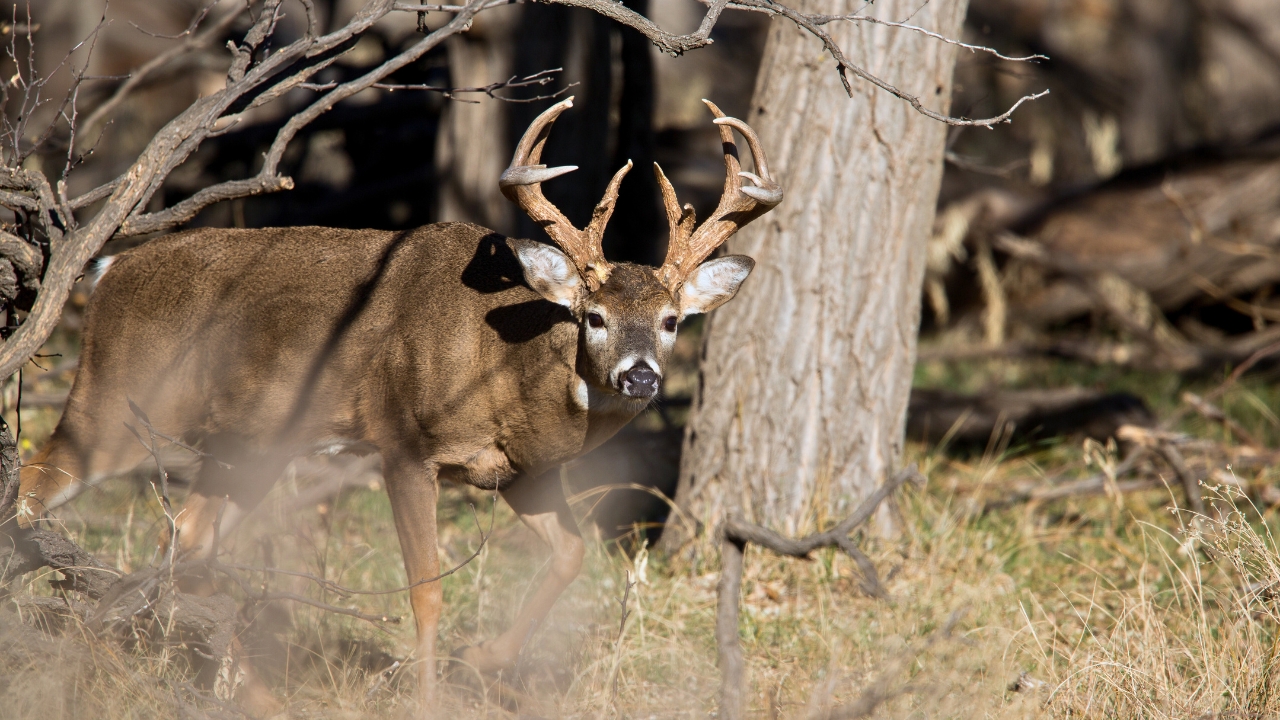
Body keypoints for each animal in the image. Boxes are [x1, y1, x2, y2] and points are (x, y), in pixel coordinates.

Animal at [14, 96, 781, 714]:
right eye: (593, 316)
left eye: (672, 321)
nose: (641, 377)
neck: (503, 372)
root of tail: (107, 270)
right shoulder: (405, 446)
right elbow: (428, 589)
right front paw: (430, 696)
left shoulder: (520, 474)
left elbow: (573, 555)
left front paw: (484, 660)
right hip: (117, 399)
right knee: (33, 483)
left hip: (248, 447)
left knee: (188, 539)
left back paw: (241, 692)